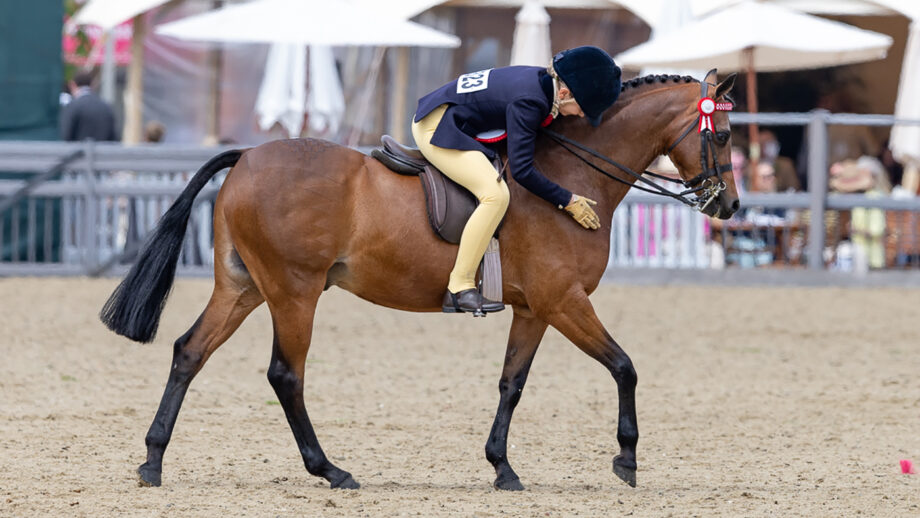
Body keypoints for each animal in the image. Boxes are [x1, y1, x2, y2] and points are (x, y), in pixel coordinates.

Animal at [100, 69, 739, 491]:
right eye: (725, 136)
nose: (729, 206)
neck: (570, 173)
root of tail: (248, 157)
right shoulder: (564, 301)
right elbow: (625, 366)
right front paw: (626, 460)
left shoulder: (535, 310)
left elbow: (512, 384)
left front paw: (502, 467)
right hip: (294, 291)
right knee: (286, 374)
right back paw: (330, 470)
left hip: (243, 288)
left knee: (190, 352)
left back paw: (153, 462)